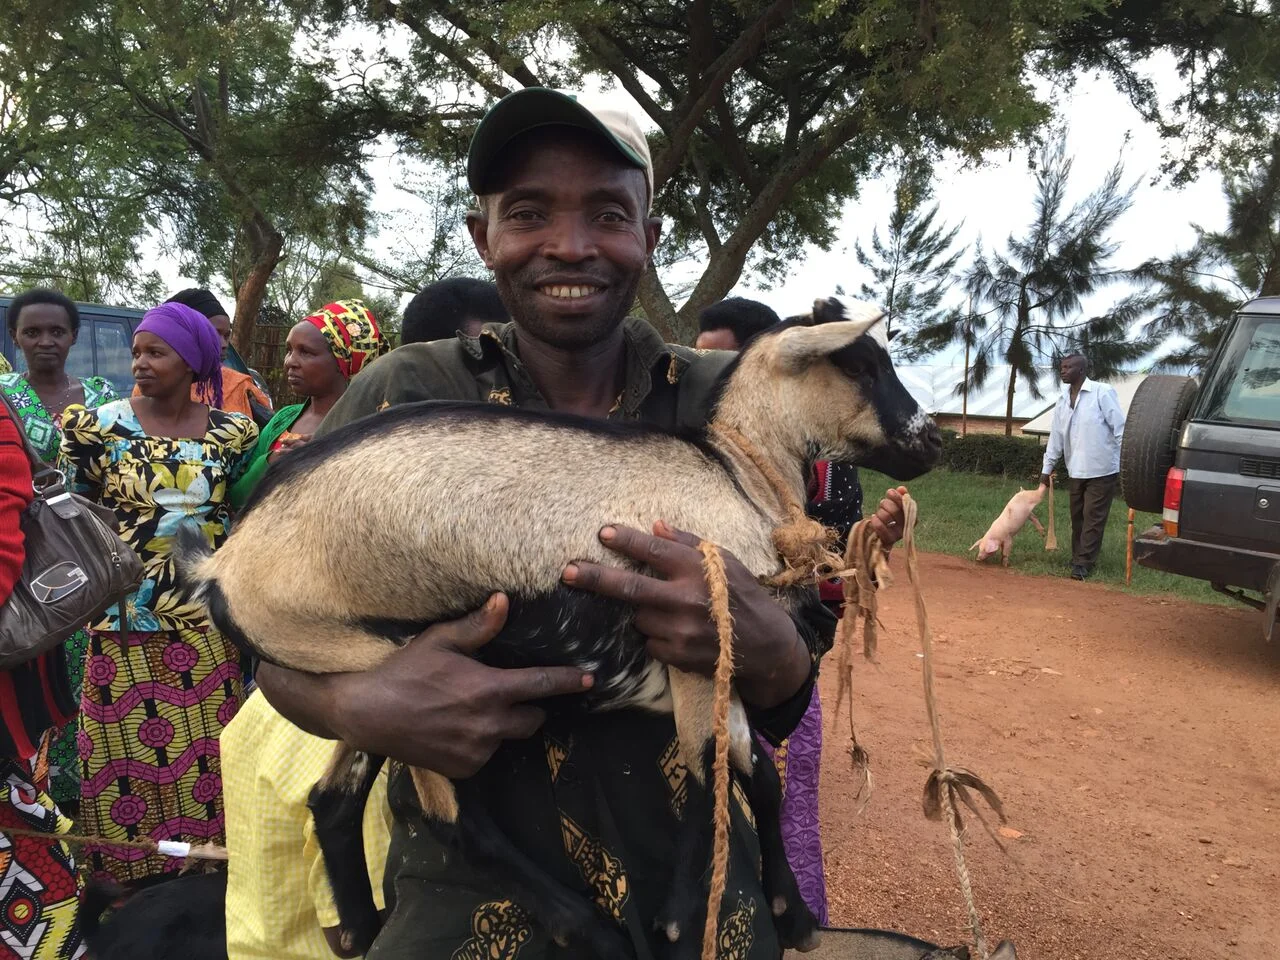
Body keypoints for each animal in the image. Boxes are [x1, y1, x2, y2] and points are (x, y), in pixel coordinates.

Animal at [177, 295, 942, 959]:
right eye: (860, 364)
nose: (931, 440)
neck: (736, 475)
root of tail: (222, 566)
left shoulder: (729, 658)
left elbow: (758, 776)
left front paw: (792, 914)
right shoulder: (698, 649)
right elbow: (712, 771)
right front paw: (678, 922)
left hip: (347, 671)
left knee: (334, 800)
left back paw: (361, 927)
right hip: (399, 680)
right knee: (449, 818)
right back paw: (586, 927)